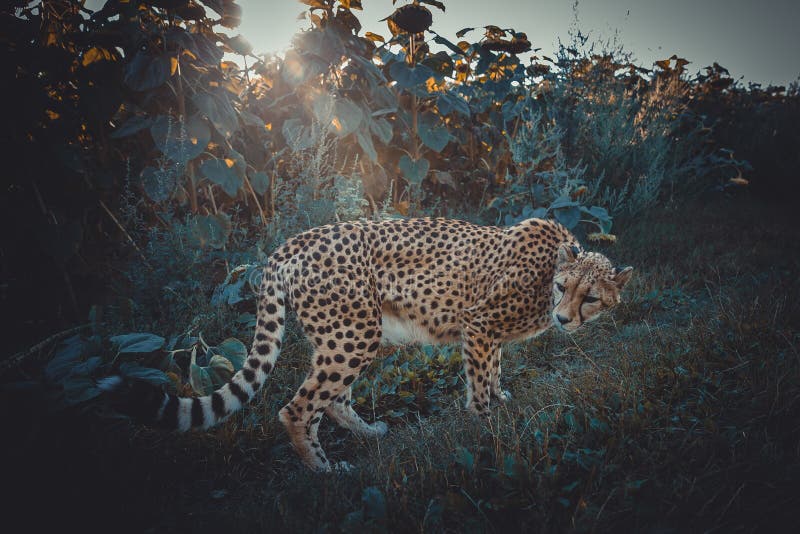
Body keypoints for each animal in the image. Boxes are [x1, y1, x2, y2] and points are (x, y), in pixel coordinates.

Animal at [102, 217, 633, 471]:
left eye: (590, 297)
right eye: (564, 288)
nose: (563, 318)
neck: (547, 276)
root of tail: (290, 243)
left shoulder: (487, 333)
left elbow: (494, 372)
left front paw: (501, 400)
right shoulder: (478, 324)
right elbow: (479, 382)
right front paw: (487, 424)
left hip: (351, 334)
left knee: (331, 400)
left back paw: (368, 435)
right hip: (355, 334)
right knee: (297, 407)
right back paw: (325, 472)